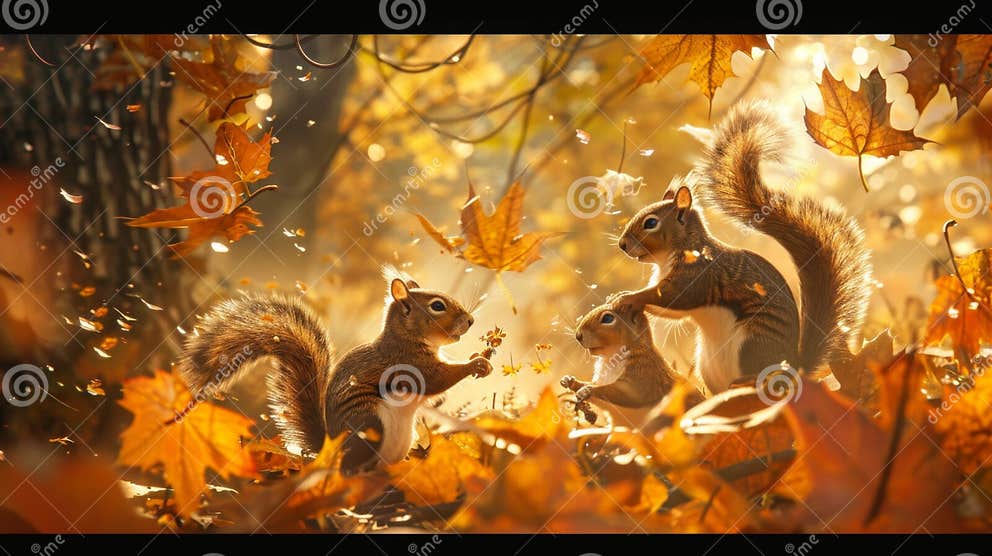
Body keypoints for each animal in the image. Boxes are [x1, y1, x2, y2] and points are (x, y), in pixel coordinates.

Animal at [178, 266, 492, 473]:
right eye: (437, 306)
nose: (471, 321)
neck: (407, 338)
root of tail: (329, 452)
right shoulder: (410, 365)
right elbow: (438, 379)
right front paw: (477, 363)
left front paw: (479, 356)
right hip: (371, 426)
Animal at [613, 101, 872, 394]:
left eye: (651, 223)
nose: (622, 245)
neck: (674, 253)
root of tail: (794, 367)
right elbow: (669, 309)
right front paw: (623, 297)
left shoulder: (697, 274)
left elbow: (673, 296)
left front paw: (629, 297)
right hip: (707, 365)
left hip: (750, 346)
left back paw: (747, 382)